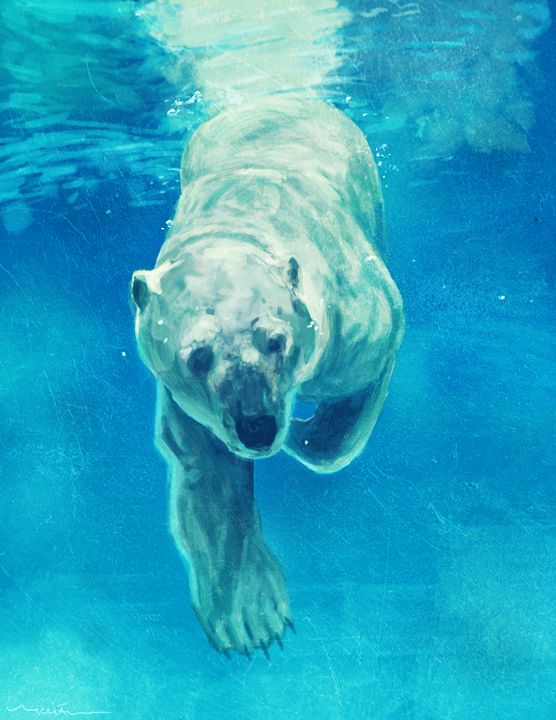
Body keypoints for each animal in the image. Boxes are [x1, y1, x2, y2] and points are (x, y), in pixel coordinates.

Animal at [131, 97, 404, 658]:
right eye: (197, 357)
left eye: (275, 339)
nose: (258, 427)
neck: (240, 217)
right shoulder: (188, 401)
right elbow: (206, 466)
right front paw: (250, 617)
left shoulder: (363, 317)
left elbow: (351, 408)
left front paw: (305, 436)